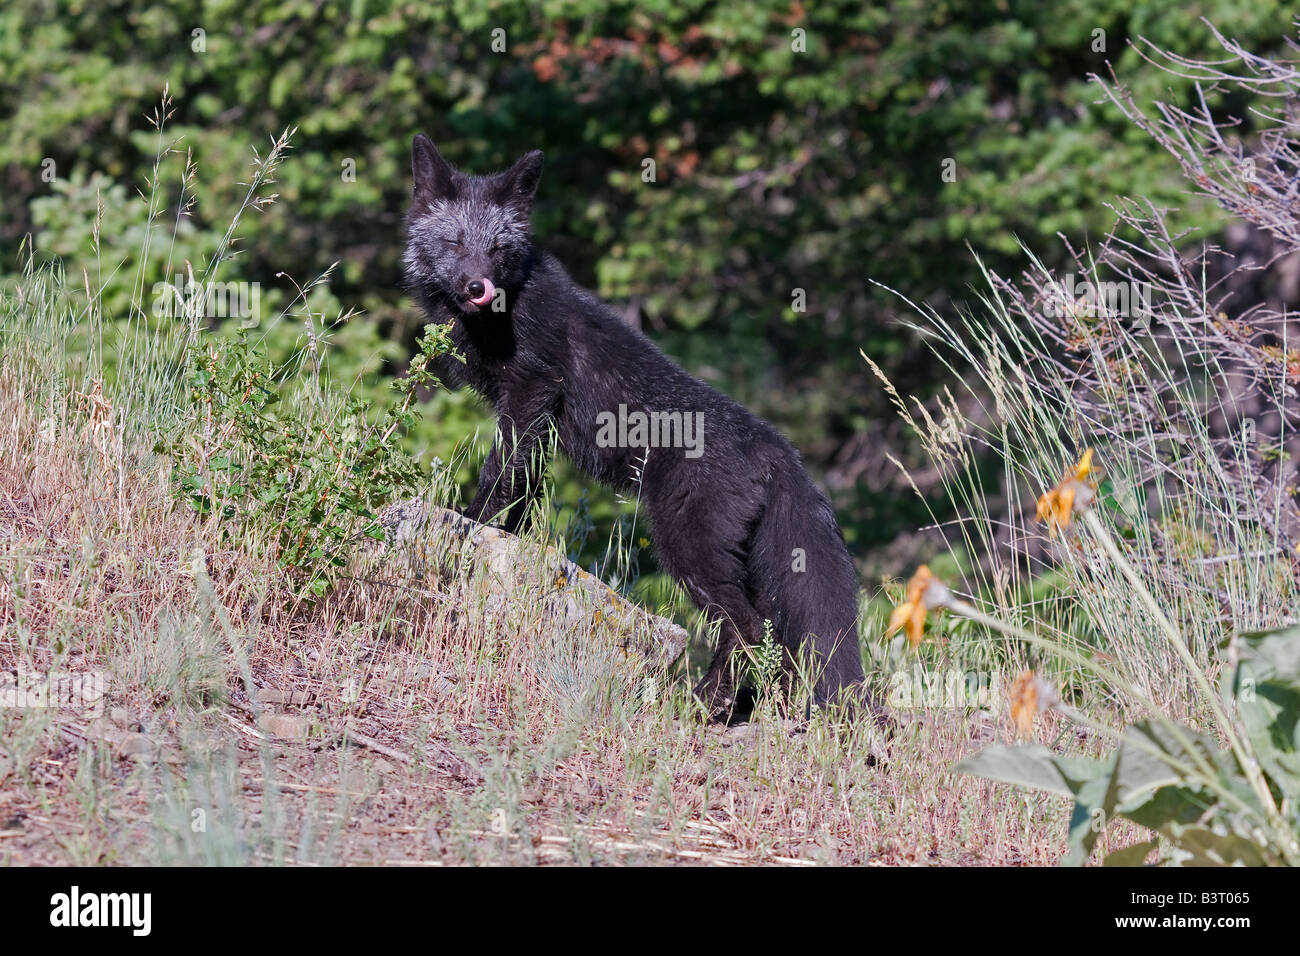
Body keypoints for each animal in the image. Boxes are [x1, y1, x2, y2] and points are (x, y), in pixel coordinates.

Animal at [403, 134, 871, 720]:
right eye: (454, 241)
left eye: (498, 250)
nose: (477, 286)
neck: (502, 314)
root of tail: (777, 447)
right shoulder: (539, 419)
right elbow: (525, 489)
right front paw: (509, 537)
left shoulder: (532, 389)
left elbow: (498, 476)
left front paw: (471, 523)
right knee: (774, 643)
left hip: (687, 546)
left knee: (746, 629)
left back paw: (702, 706)